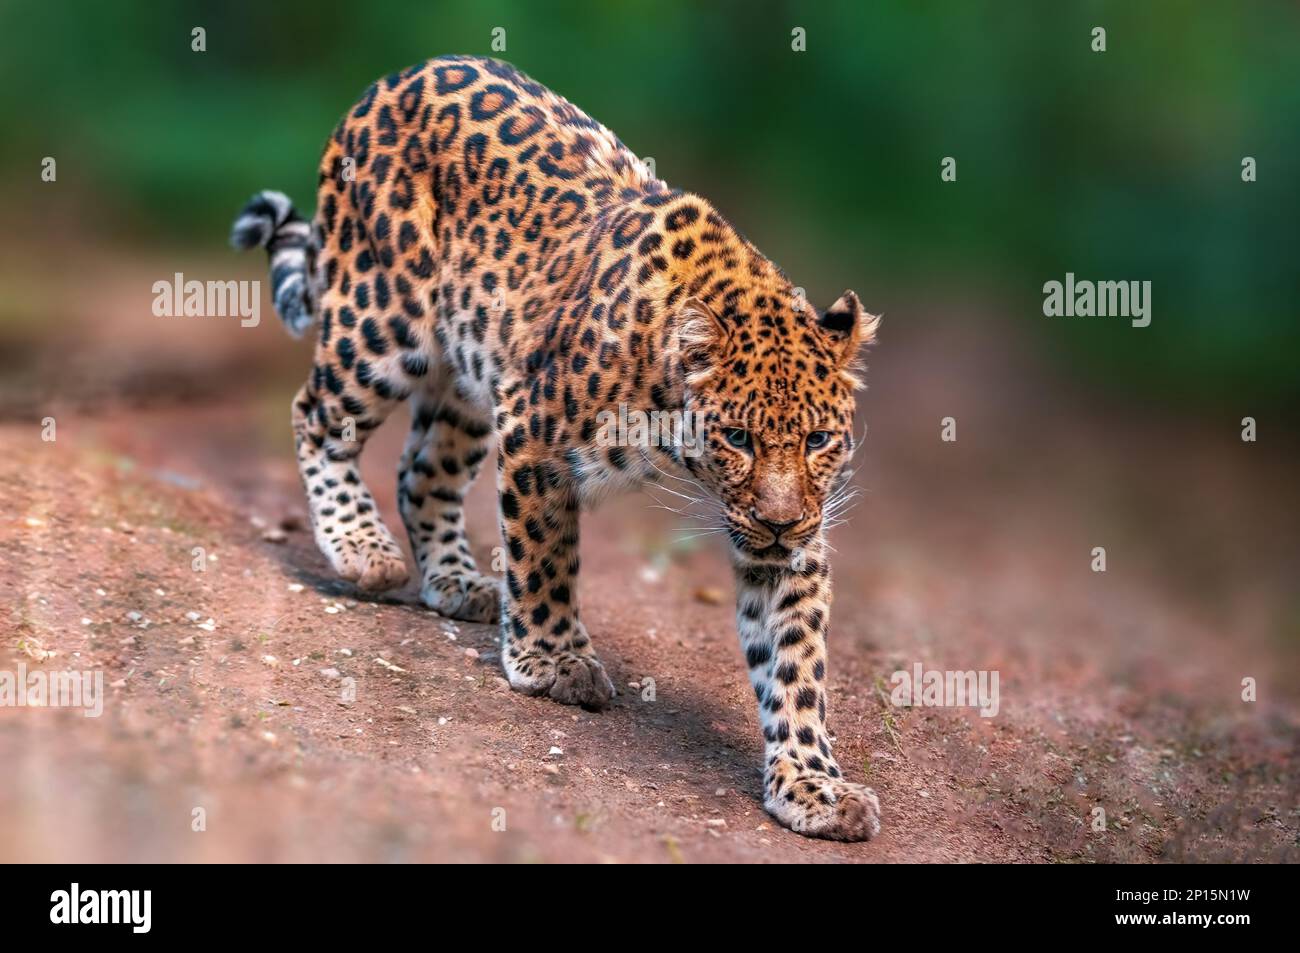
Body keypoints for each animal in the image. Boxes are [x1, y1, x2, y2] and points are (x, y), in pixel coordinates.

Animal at [232, 55, 882, 841]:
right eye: (737, 438)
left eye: (818, 439)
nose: (782, 523)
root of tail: (391, 79)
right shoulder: (534, 431)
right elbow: (544, 556)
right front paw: (552, 660)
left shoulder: (792, 536)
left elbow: (794, 660)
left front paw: (811, 784)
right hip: (383, 323)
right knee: (317, 417)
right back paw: (362, 548)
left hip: (469, 375)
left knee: (421, 473)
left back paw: (457, 582)